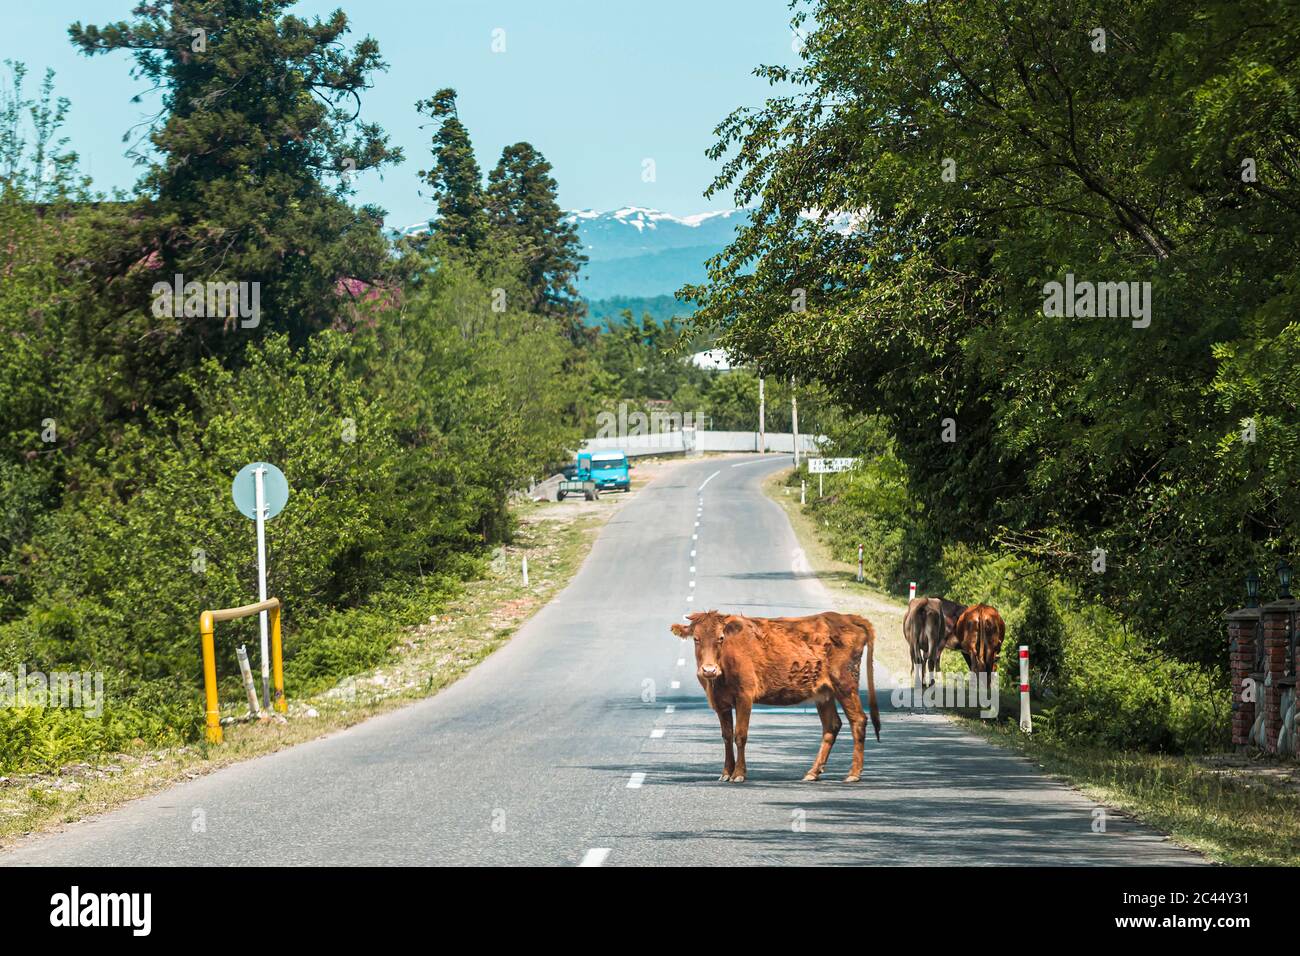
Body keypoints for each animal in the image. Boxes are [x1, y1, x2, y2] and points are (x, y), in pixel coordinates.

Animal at [669, 610, 880, 783]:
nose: (709, 670)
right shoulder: (720, 702)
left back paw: (854, 773)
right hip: (824, 692)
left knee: (858, 720)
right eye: (696, 639)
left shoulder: (744, 696)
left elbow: (740, 735)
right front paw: (726, 772)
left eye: (721, 638)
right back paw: (813, 772)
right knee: (831, 726)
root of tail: (847, 617)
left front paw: (739, 774)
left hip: (845, 684)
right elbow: (727, 736)